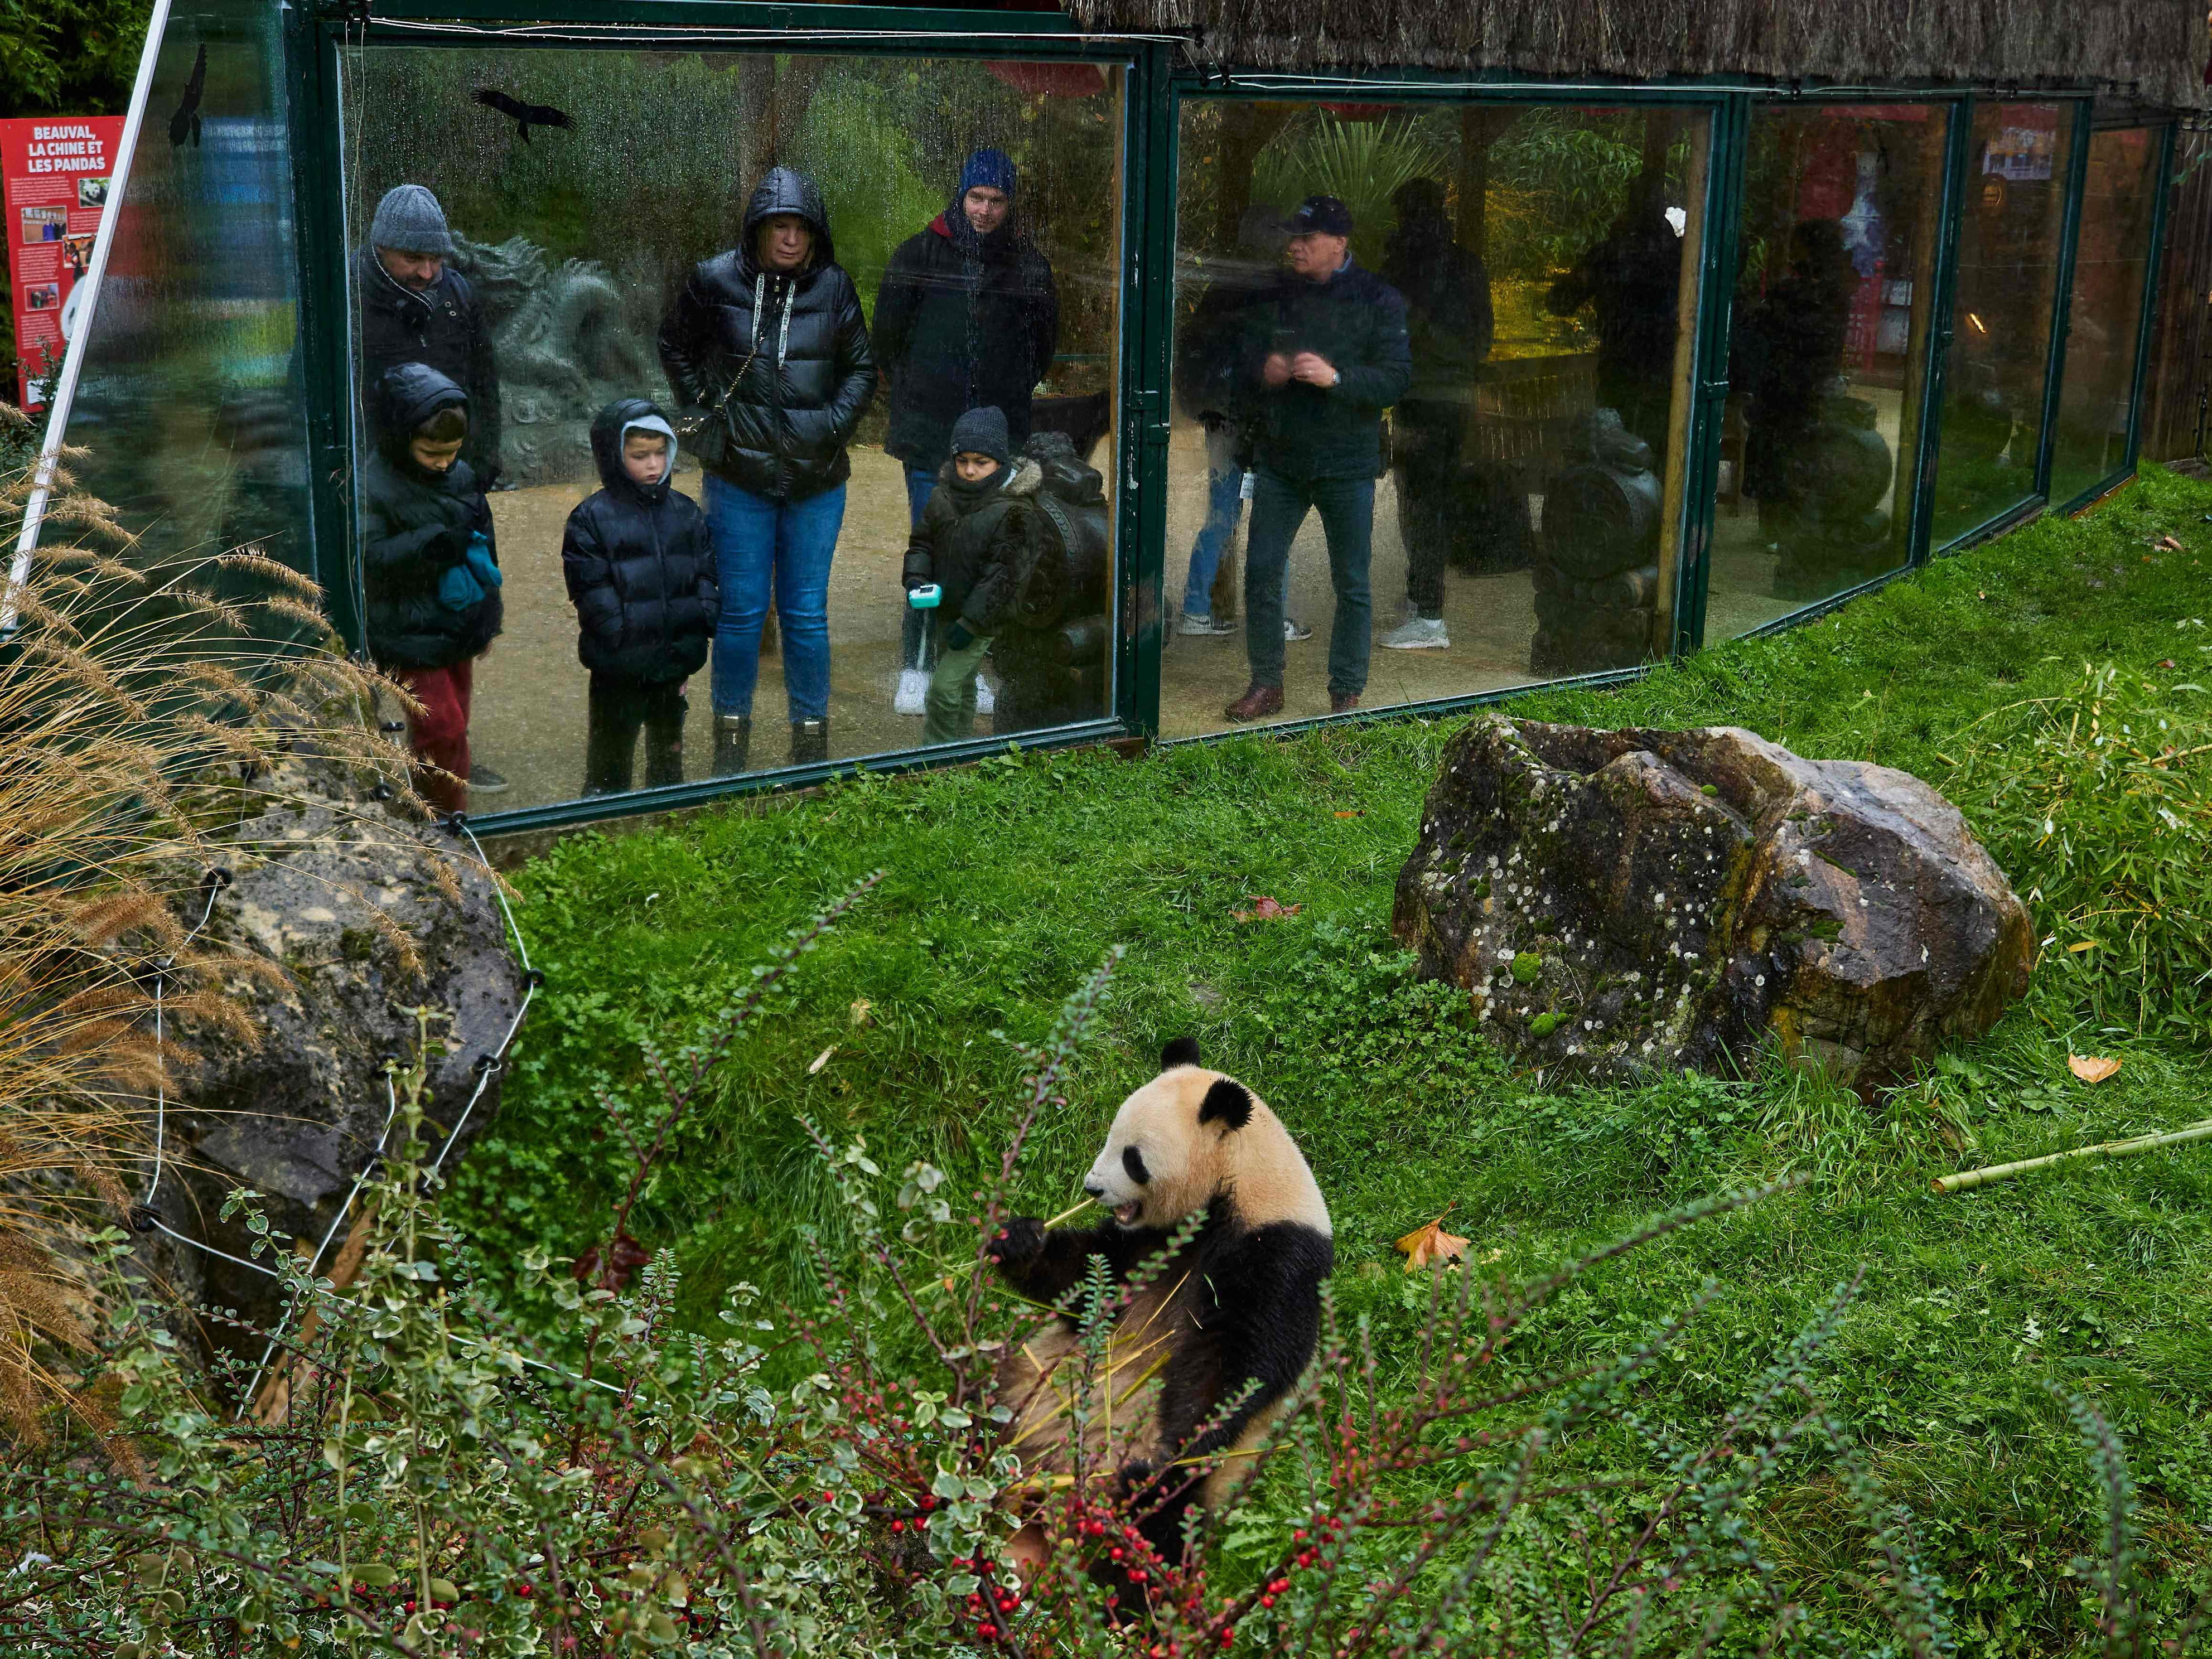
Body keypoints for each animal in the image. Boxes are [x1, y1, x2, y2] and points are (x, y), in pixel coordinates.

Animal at [987, 1035, 1333, 1568]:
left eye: (1133, 1158)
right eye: (1110, 1137)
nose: (1092, 1187)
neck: (1239, 1183)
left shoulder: (1278, 1259)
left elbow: (1235, 1367)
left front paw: (1169, 1449)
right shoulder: (1146, 1244)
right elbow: (1091, 1280)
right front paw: (1020, 1239)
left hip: (1205, 1485)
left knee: (1166, 1521)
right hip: (1020, 1391)